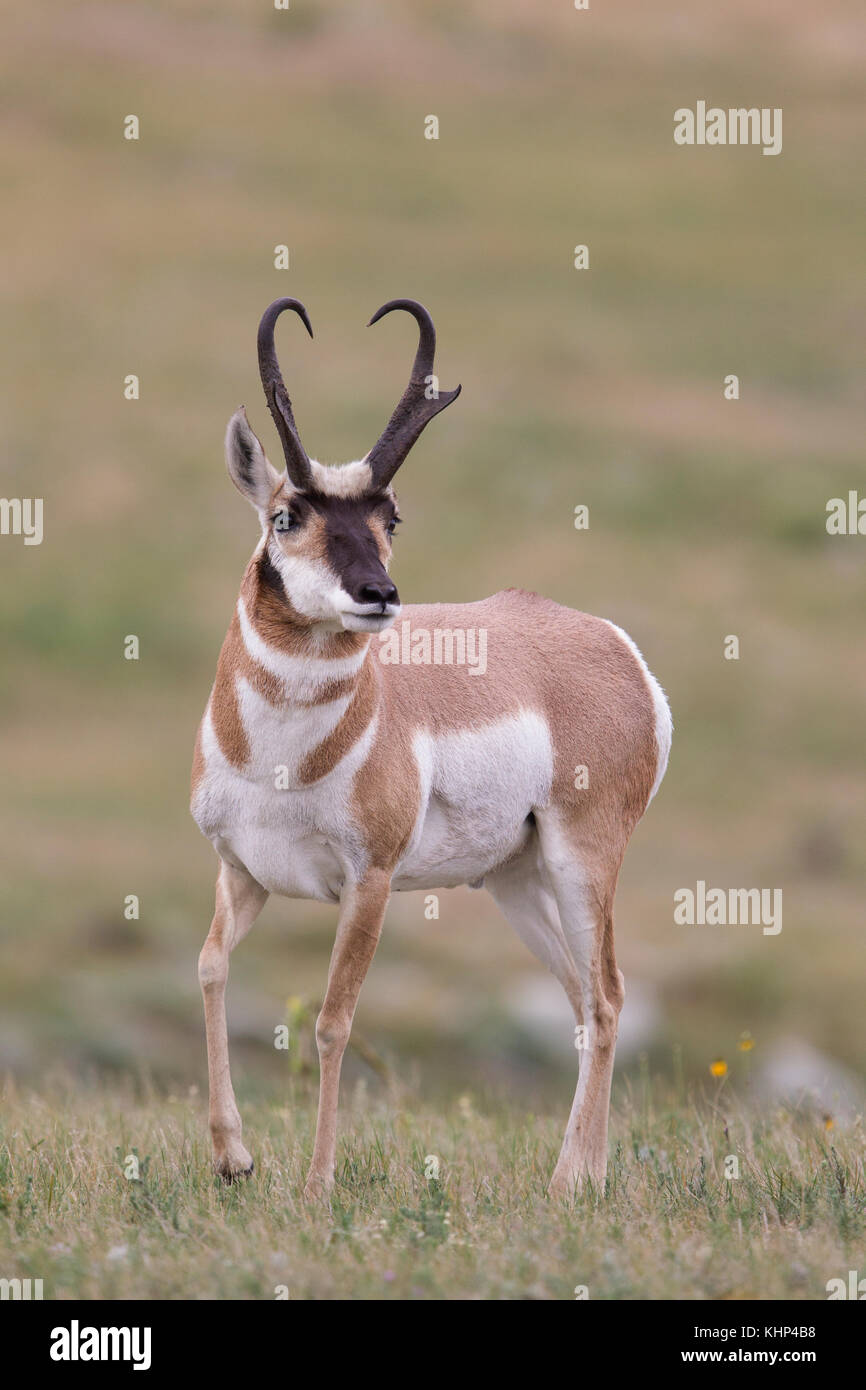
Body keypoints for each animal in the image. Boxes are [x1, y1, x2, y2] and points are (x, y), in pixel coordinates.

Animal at [191, 297, 672, 1200]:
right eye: (287, 516)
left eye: (389, 520)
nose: (378, 593)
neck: (281, 761)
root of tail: (611, 644)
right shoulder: (241, 871)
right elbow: (209, 969)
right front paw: (233, 1158)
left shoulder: (369, 883)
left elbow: (334, 1021)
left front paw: (318, 1183)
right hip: (517, 883)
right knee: (584, 1002)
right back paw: (579, 1176)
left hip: (581, 863)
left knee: (610, 995)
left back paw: (570, 1182)